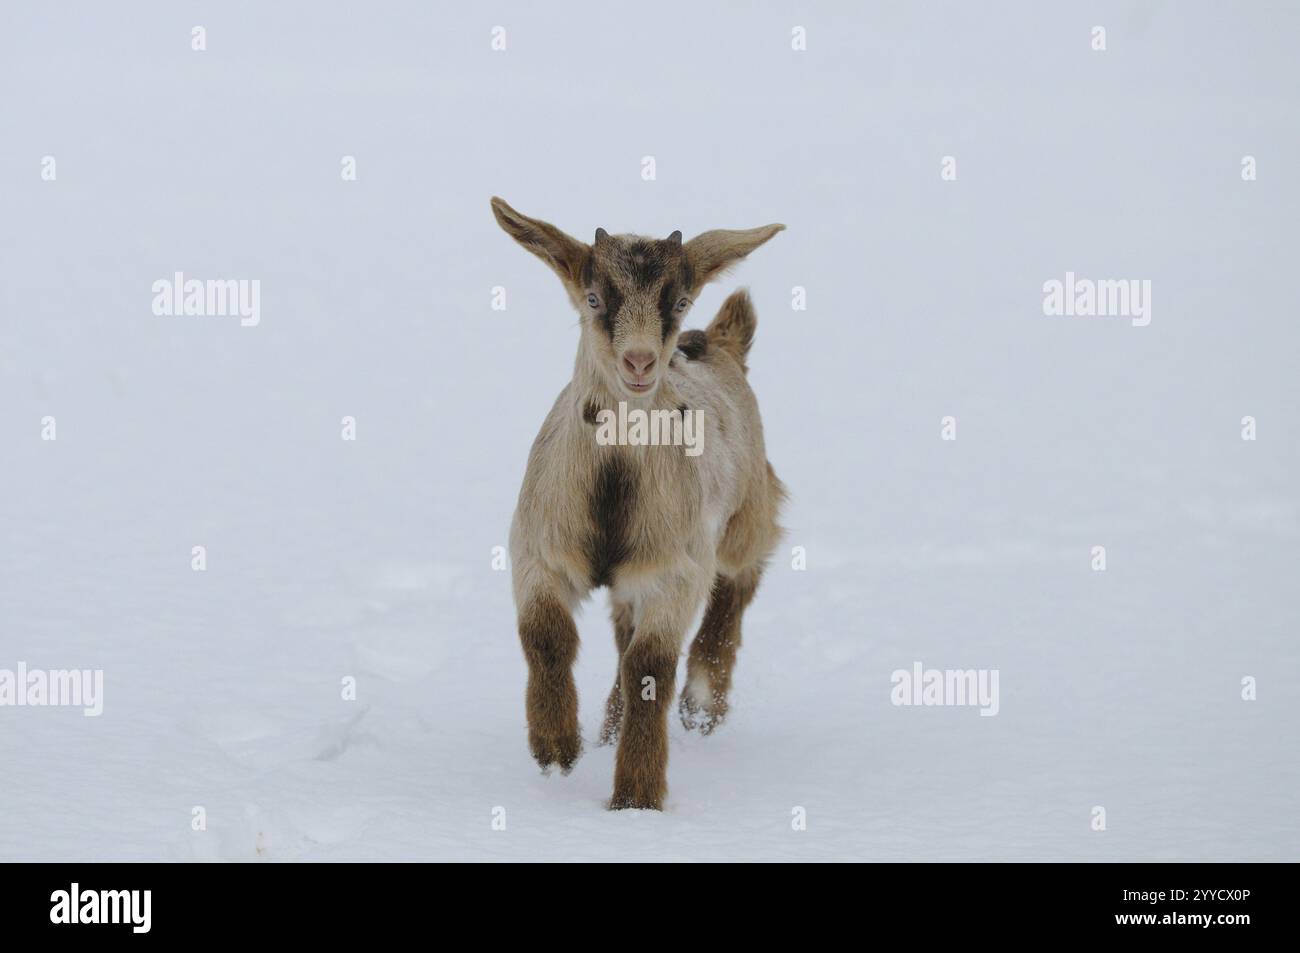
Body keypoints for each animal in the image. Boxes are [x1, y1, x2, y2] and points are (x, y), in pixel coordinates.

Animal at [491, 197, 786, 810]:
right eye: (594, 298)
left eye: (678, 301)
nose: (640, 363)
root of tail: (720, 344)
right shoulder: (538, 547)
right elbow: (546, 635)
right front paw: (556, 747)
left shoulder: (675, 571)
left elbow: (650, 669)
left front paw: (636, 797)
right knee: (623, 630)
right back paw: (606, 728)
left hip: (746, 510)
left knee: (740, 579)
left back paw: (702, 702)